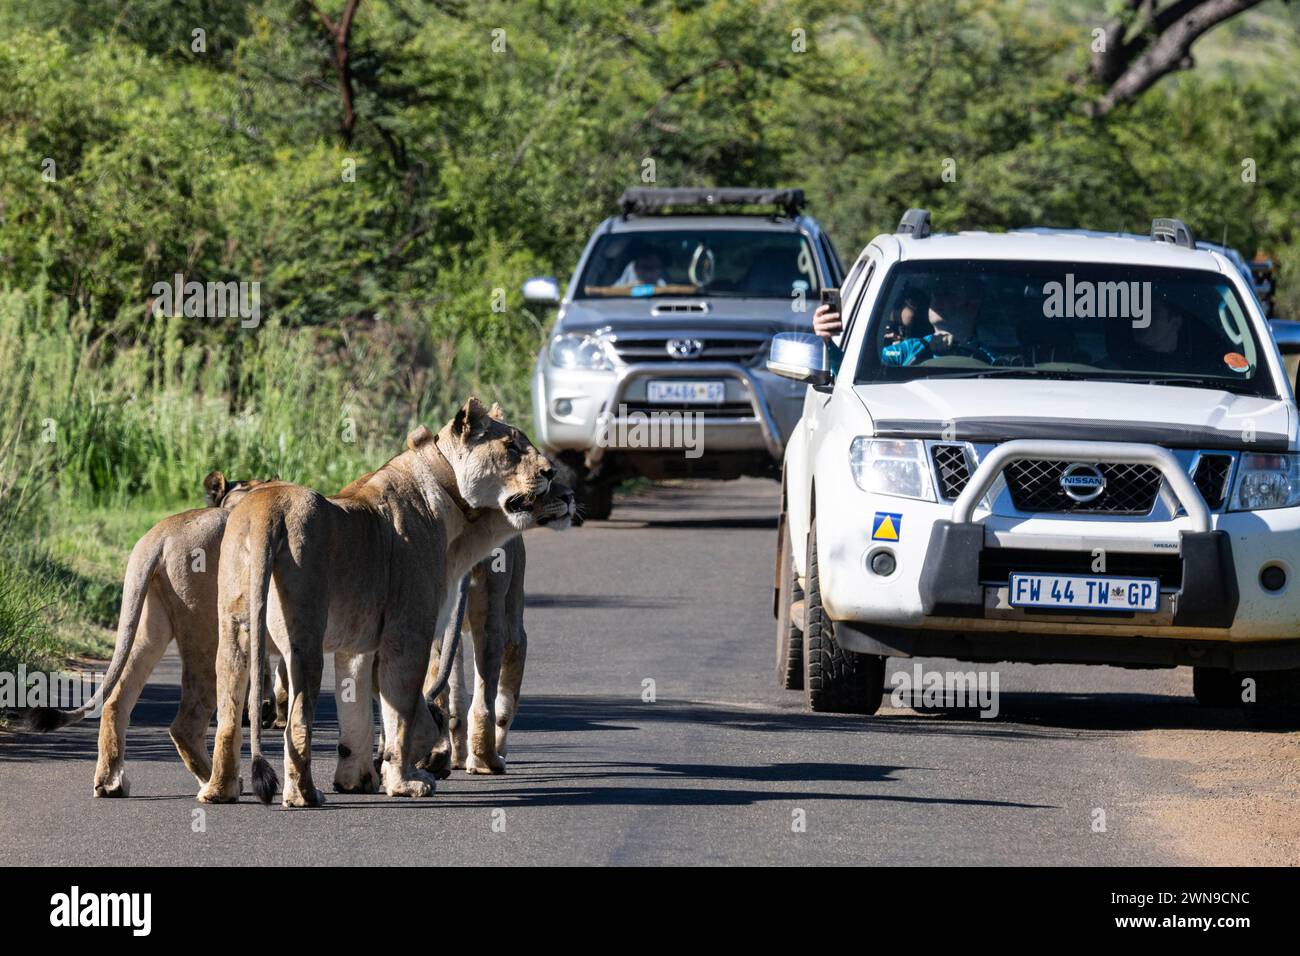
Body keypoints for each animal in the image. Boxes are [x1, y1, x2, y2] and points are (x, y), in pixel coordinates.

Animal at [24, 472, 278, 797]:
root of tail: (161, 534)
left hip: (148, 624)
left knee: (116, 698)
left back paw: (111, 783)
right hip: (207, 629)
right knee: (186, 722)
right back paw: (219, 784)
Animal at [198, 398, 573, 806]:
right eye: (511, 446)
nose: (552, 473)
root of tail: (269, 510)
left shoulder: (357, 646)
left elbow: (358, 715)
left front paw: (357, 778)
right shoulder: (408, 634)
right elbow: (405, 714)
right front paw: (406, 779)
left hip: (233, 637)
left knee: (229, 718)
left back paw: (218, 791)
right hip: (304, 642)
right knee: (296, 721)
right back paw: (305, 795)